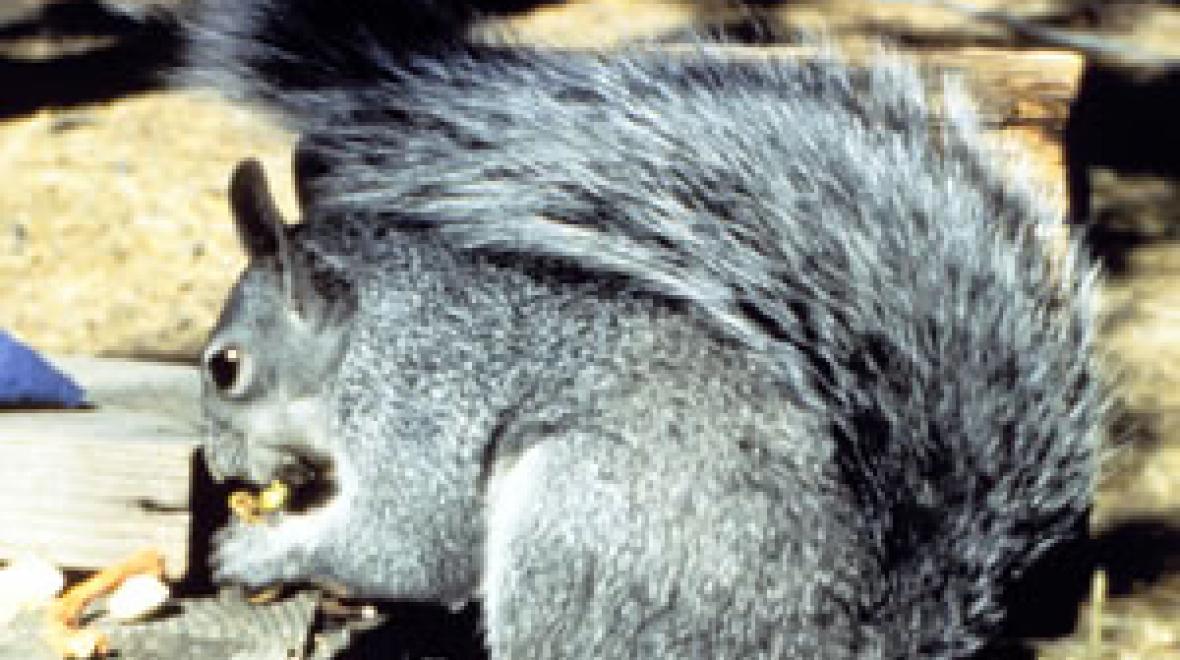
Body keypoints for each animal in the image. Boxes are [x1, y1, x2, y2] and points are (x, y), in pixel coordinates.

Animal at [182, 0, 1109, 657]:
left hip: (576, 518)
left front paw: (255, 551)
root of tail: (837, 641)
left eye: (225, 367)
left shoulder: (418, 412)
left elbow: (405, 547)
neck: (363, 341)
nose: (218, 467)